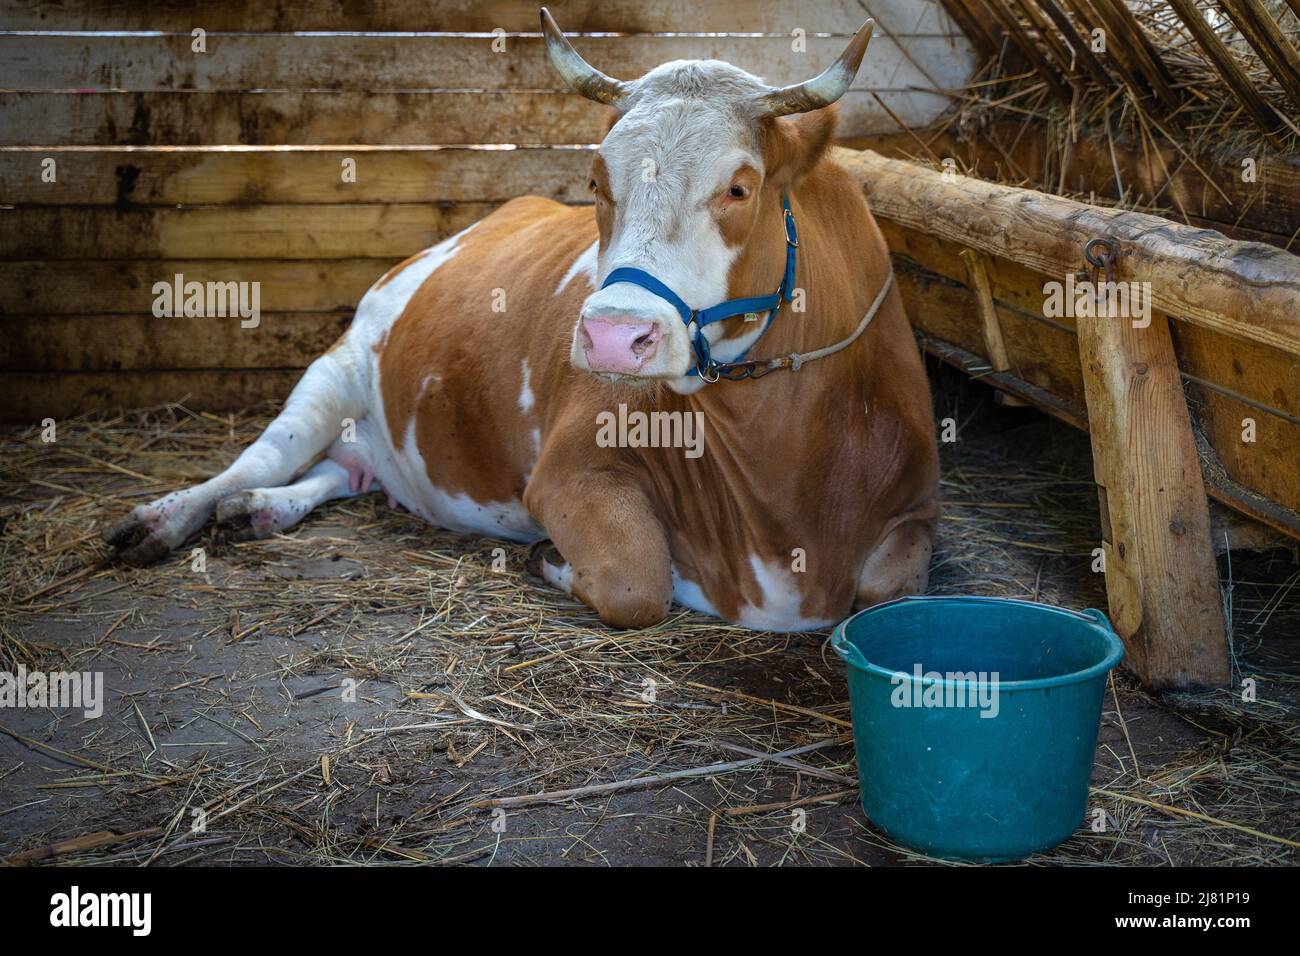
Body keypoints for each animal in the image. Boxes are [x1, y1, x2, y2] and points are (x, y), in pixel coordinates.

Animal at [104, 10, 940, 633]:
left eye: (740, 187)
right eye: (596, 180)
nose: (612, 337)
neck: (781, 492)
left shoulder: (915, 509)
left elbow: (886, 588)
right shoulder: (570, 468)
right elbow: (638, 579)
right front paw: (551, 557)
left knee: (339, 471)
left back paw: (262, 513)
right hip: (336, 367)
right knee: (260, 457)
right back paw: (166, 521)